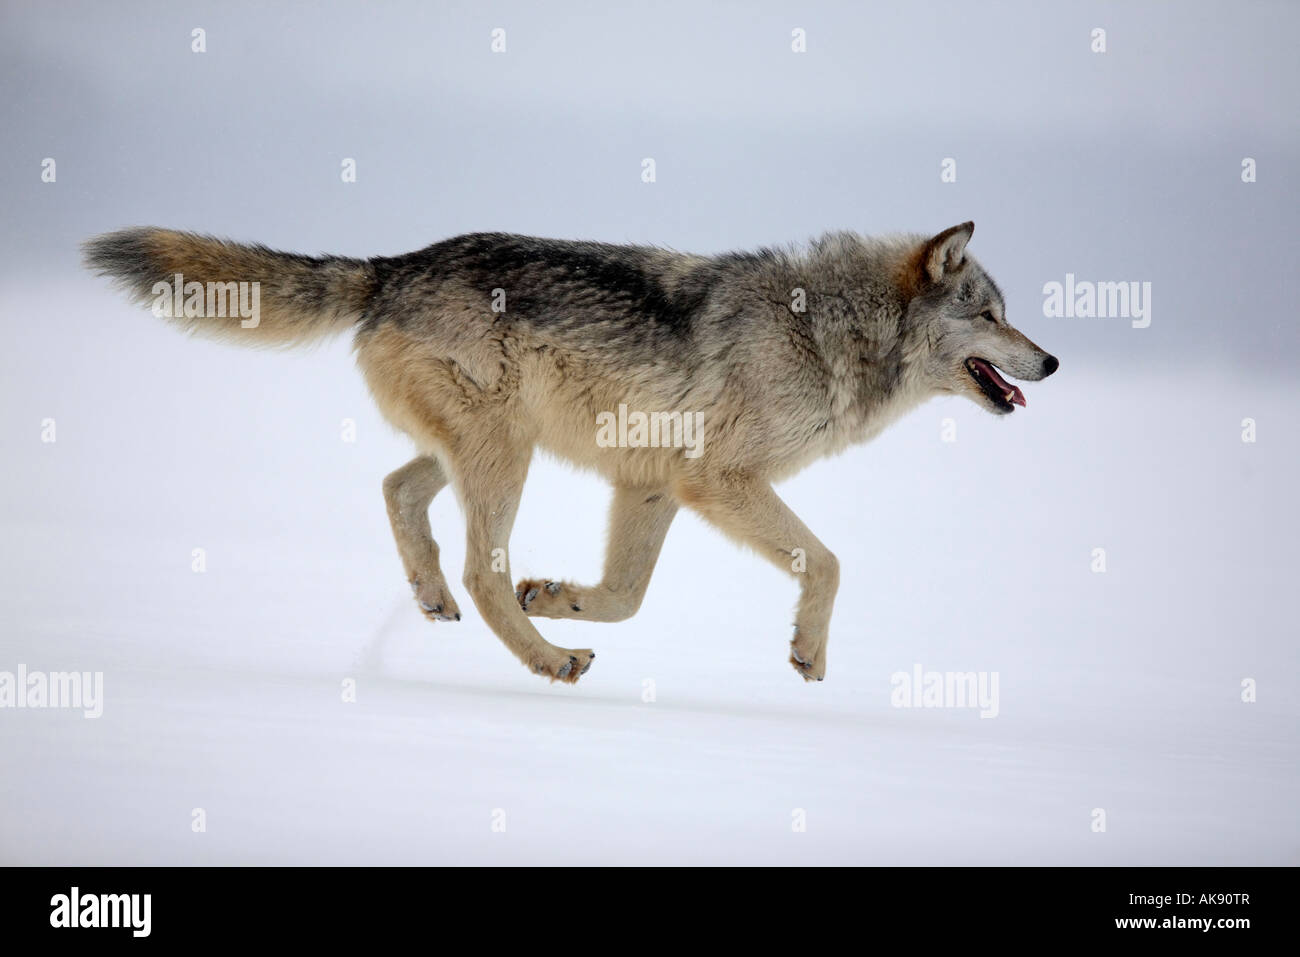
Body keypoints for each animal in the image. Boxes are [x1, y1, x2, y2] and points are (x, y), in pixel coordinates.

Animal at [84, 222, 1057, 684]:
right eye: (990, 313)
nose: (1049, 361)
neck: (830, 334)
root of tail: (394, 266)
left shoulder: (651, 483)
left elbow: (625, 597)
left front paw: (558, 594)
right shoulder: (716, 481)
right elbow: (828, 562)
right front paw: (807, 652)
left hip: (486, 445)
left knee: (398, 490)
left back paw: (440, 600)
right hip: (504, 453)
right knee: (475, 566)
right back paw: (548, 659)